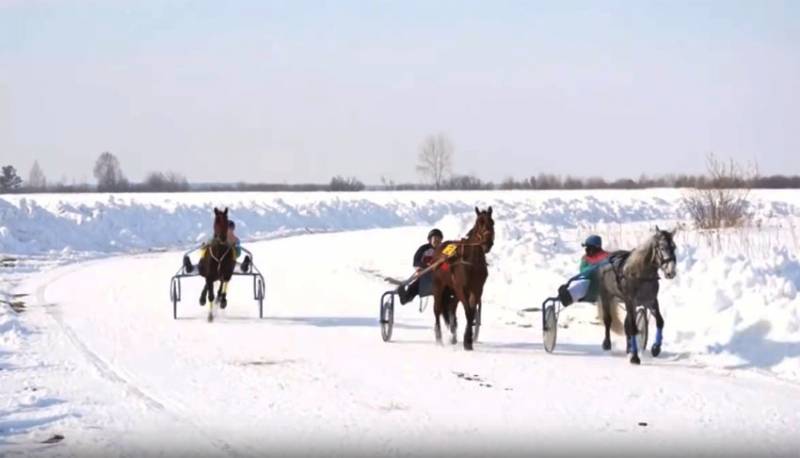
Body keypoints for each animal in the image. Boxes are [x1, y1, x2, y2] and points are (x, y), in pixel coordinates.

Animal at [432, 207, 494, 350]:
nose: (487, 243)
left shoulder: (477, 290)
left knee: (451, 308)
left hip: (453, 290)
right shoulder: (462, 288)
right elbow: (468, 312)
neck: (472, 264)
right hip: (439, 286)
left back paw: (453, 336)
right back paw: (439, 339)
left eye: (492, 223)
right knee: (437, 309)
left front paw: (468, 340)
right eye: (478, 223)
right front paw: (467, 341)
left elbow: (471, 312)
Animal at [596, 226, 680, 364]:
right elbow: (633, 328)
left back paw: (629, 347)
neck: (641, 274)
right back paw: (607, 343)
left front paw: (656, 347)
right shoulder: (630, 301)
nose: (671, 272)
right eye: (662, 247)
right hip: (606, 296)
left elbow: (660, 321)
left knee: (627, 325)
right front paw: (634, 356)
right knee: (608, 320)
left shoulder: (651, 301)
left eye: (674, 247)